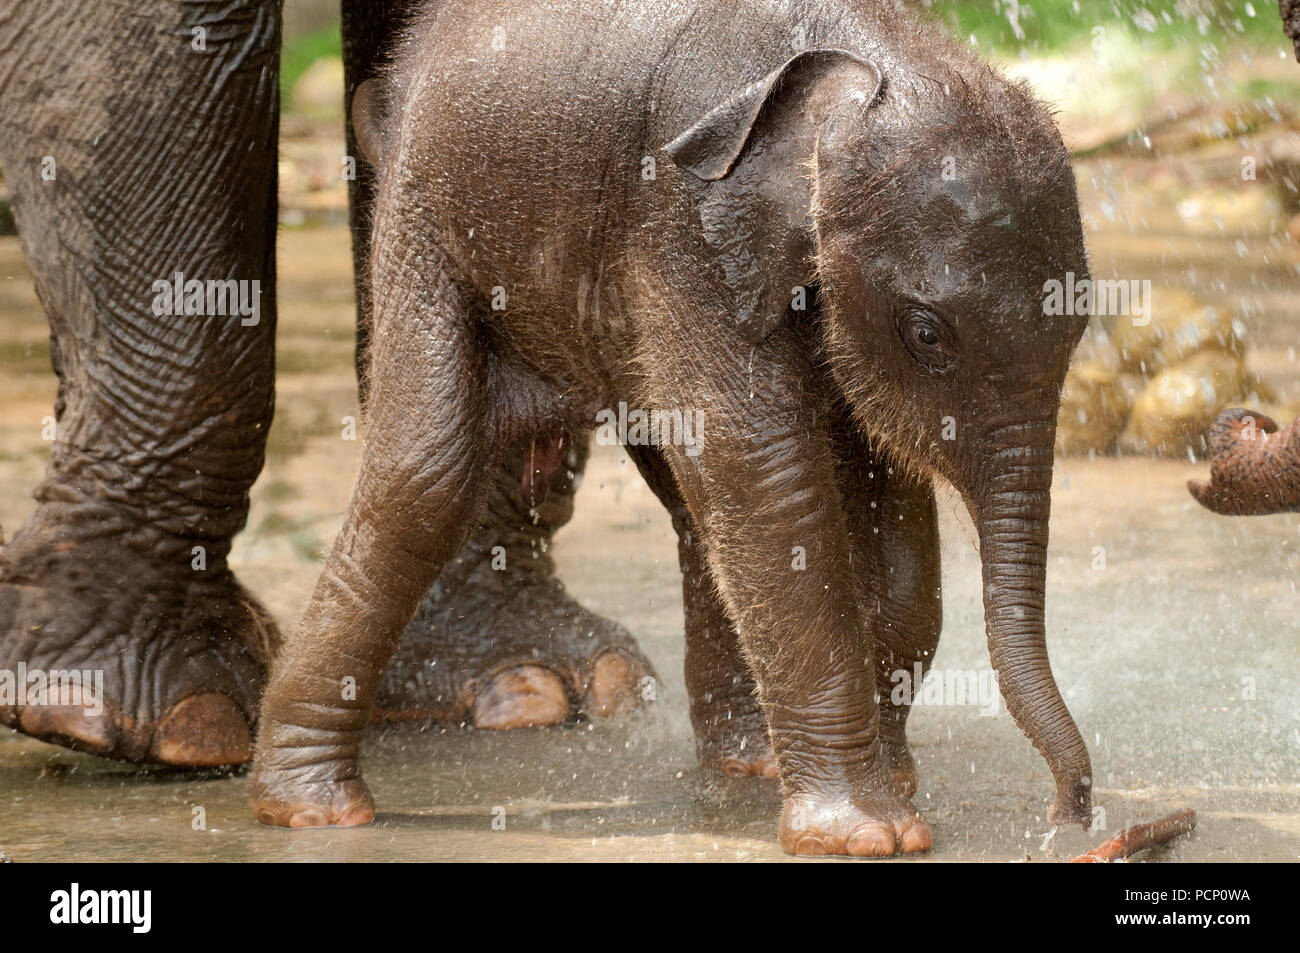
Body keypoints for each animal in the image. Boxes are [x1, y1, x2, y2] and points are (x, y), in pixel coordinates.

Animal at [248, 0, 1096, 856]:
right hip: (428, 226)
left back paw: (752, 762)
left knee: (683, 499)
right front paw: (870, 831)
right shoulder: (684, 227)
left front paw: (894, 784)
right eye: (927, 334)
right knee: (426, 474)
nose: (1070, 810)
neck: (858, 62)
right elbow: (764, 472)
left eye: (1082, 320)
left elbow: (881, 486)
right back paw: (314, 808)